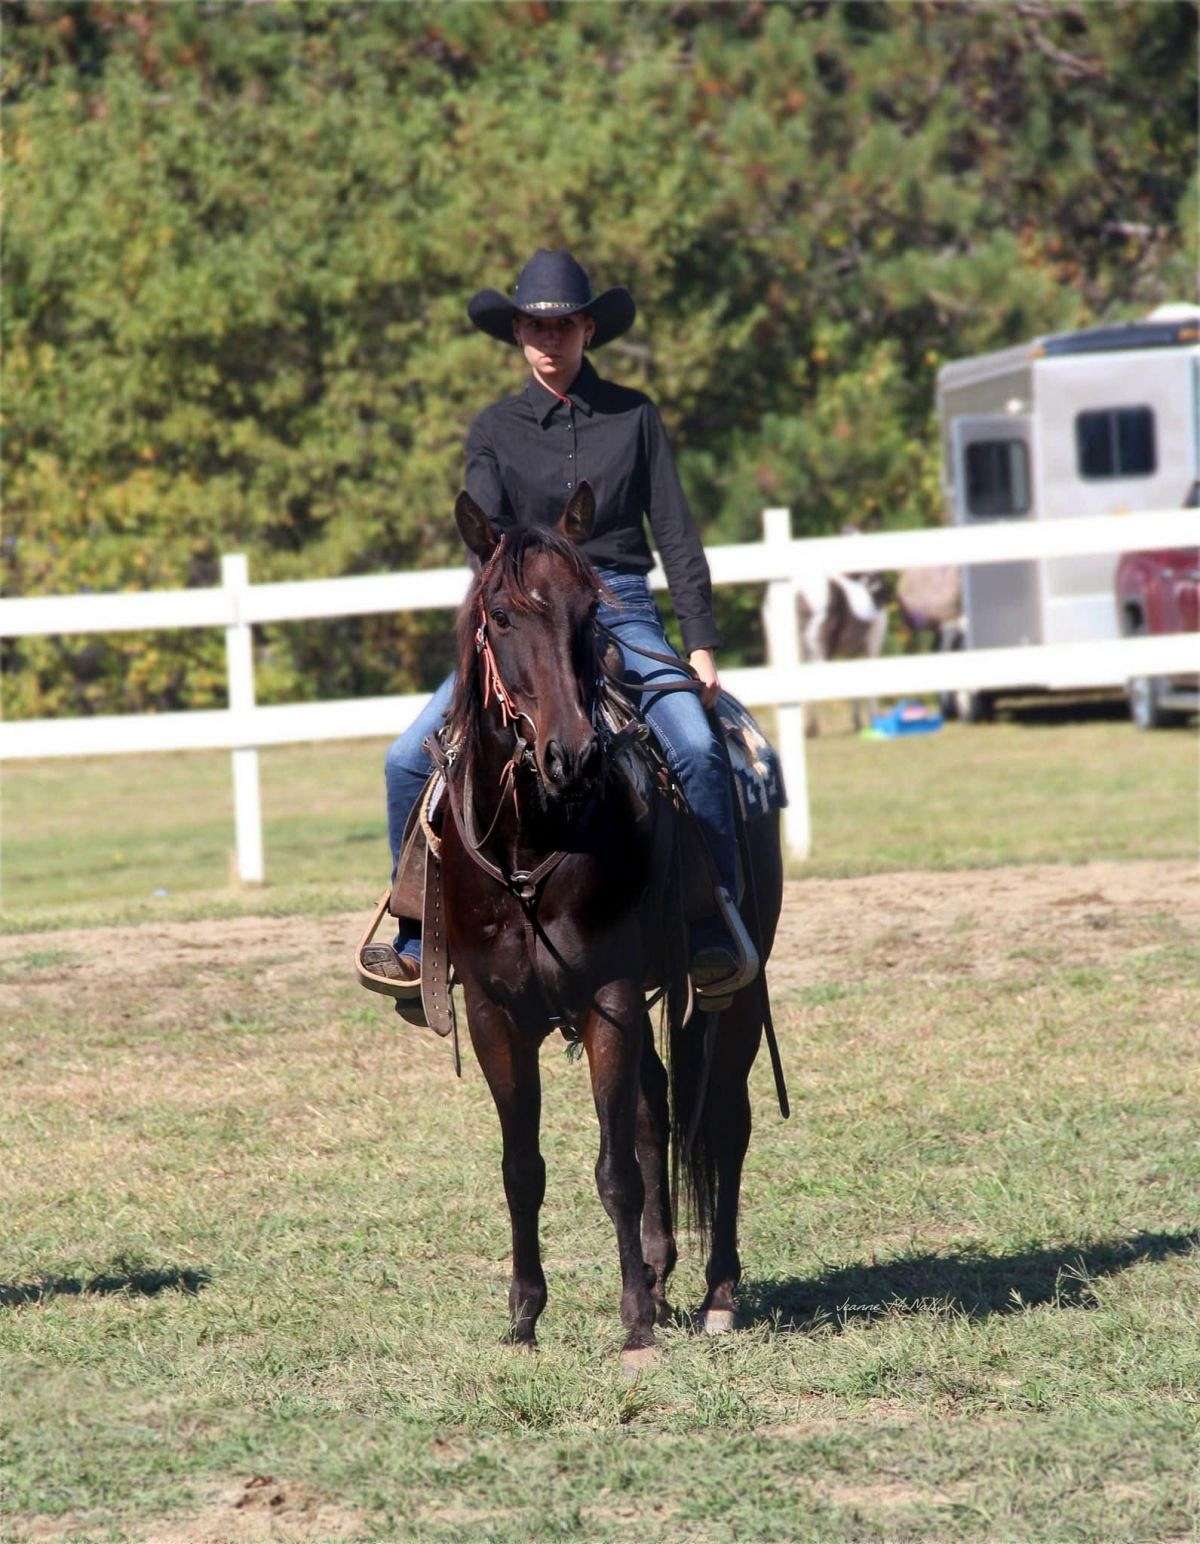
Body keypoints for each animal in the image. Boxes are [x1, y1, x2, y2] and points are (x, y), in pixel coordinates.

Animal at [434, 482, 783, 1367]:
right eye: (498, 616)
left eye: (591, 611)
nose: (574, 755)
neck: (534, 840)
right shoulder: (492, 1013)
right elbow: (523, 1166)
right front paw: (525, 1317)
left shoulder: (611, 997)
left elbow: (616, 1167)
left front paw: (633, 1328)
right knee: (658, 1109)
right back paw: (660, 1278)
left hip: (737, 988)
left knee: (722, 1119)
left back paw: (715, 1295)